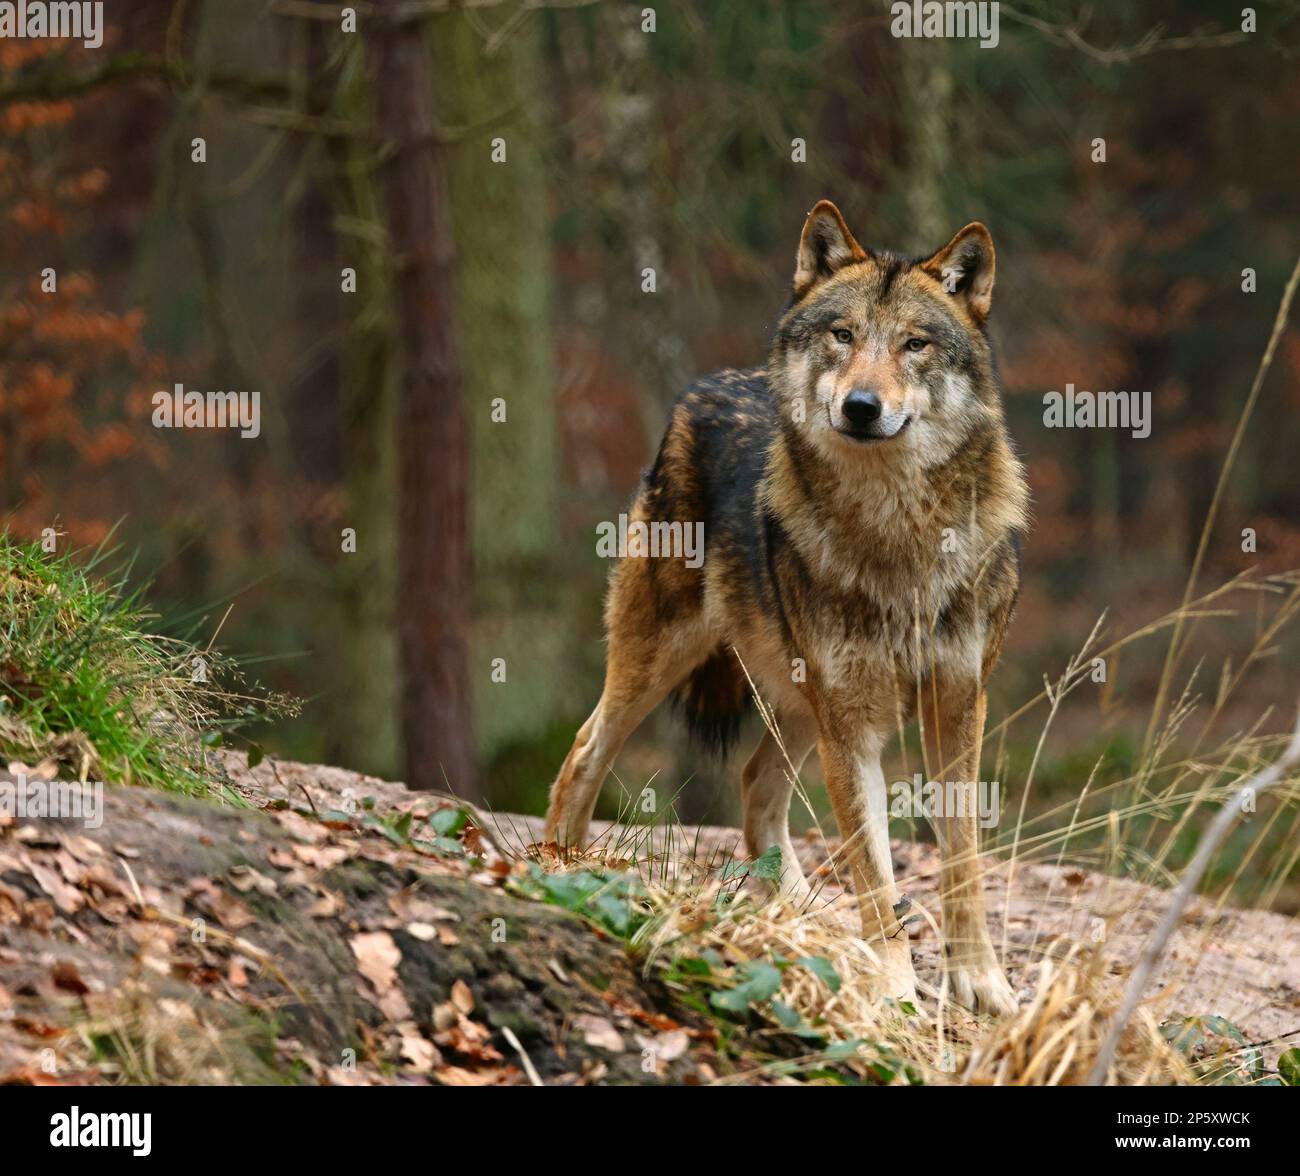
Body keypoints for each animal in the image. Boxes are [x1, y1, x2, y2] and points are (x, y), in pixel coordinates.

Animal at [544, 200, 1029, 1014]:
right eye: (843, 335)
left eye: (914, 344)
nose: (861, 407)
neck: (897, 534)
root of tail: (706, 384)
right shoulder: (853, 724)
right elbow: (874, 871)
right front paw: (894, 987)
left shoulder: (959, 703)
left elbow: (962, 858)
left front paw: (980, 981)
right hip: (669, 662)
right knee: (584, 751)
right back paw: (561, 872)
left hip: (800, 704)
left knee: (754, 787)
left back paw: (803, 917)